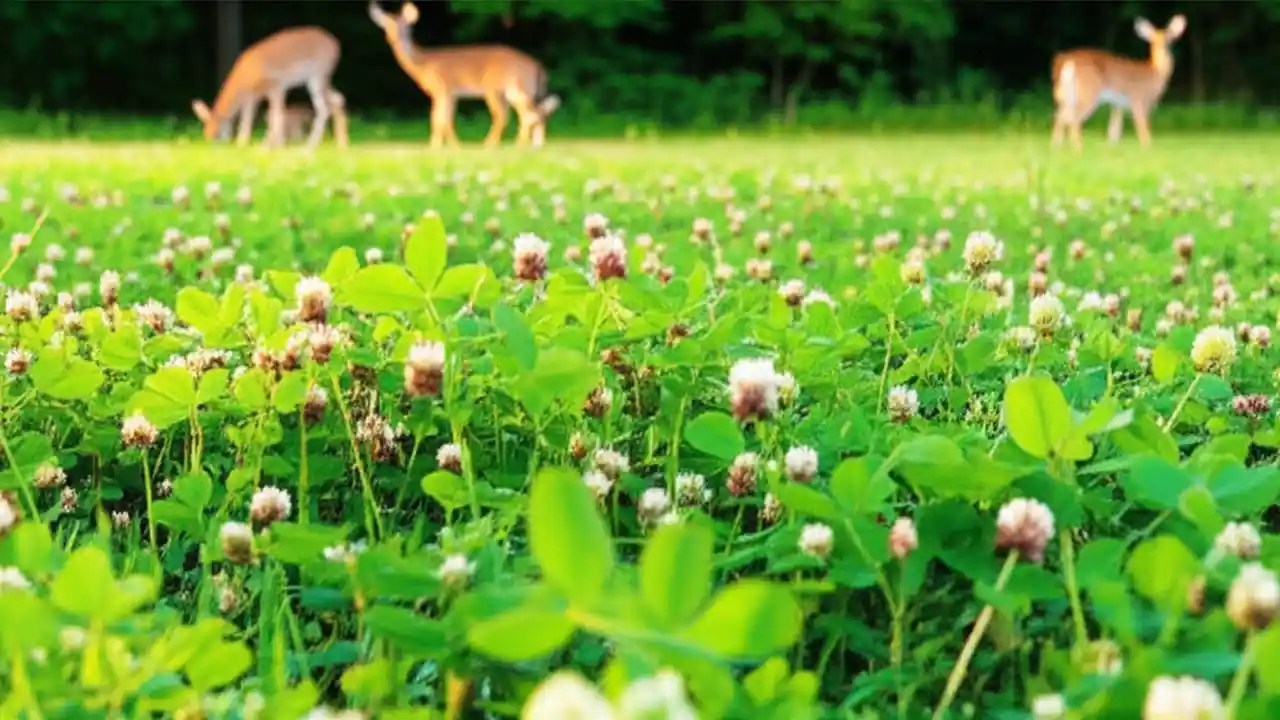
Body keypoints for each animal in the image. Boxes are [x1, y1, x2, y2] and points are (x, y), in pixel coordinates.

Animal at [191, 26, 349, 150]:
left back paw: (309, 146)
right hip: (323, 78)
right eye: (205, 134)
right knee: (338, 98)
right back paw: (341, 145)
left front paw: (269, 146)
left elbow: (275, 116)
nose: (214, 147)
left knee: (323, 107)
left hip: (317, 75)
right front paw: (245, 143)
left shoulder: (276, 86)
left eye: (216, 134)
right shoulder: (255, 96)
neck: (245, 77)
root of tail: (336, 45)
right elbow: (250, 118)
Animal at [367, 1, 561, 148]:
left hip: (502, 87)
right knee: (536, 112)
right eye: (385, 26)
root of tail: (538, 66)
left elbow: (442, 120)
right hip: (519, 90)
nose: (392, 39)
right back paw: (534, 145)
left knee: (511, 115)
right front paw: (436, 147)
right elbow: (439, 119)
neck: (422, 63)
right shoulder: (450, 94)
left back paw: (495, 145)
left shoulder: (442, 88)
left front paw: (451, 146)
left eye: (405, 28)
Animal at [1051, 15, 1186, 150]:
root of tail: (1069, 62)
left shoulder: (1118, 105)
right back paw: (1078, 148)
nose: (1164, 46)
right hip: (1088, 92)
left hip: (1064, 95)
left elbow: (1114, 131)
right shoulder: (1138, 98)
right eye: (1153, 39)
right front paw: (1147, 148)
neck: (1156, 72)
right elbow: (1142, 127)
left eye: (1170, 38)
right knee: (1072, 117)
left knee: (1060, 116)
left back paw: (1056, 147)